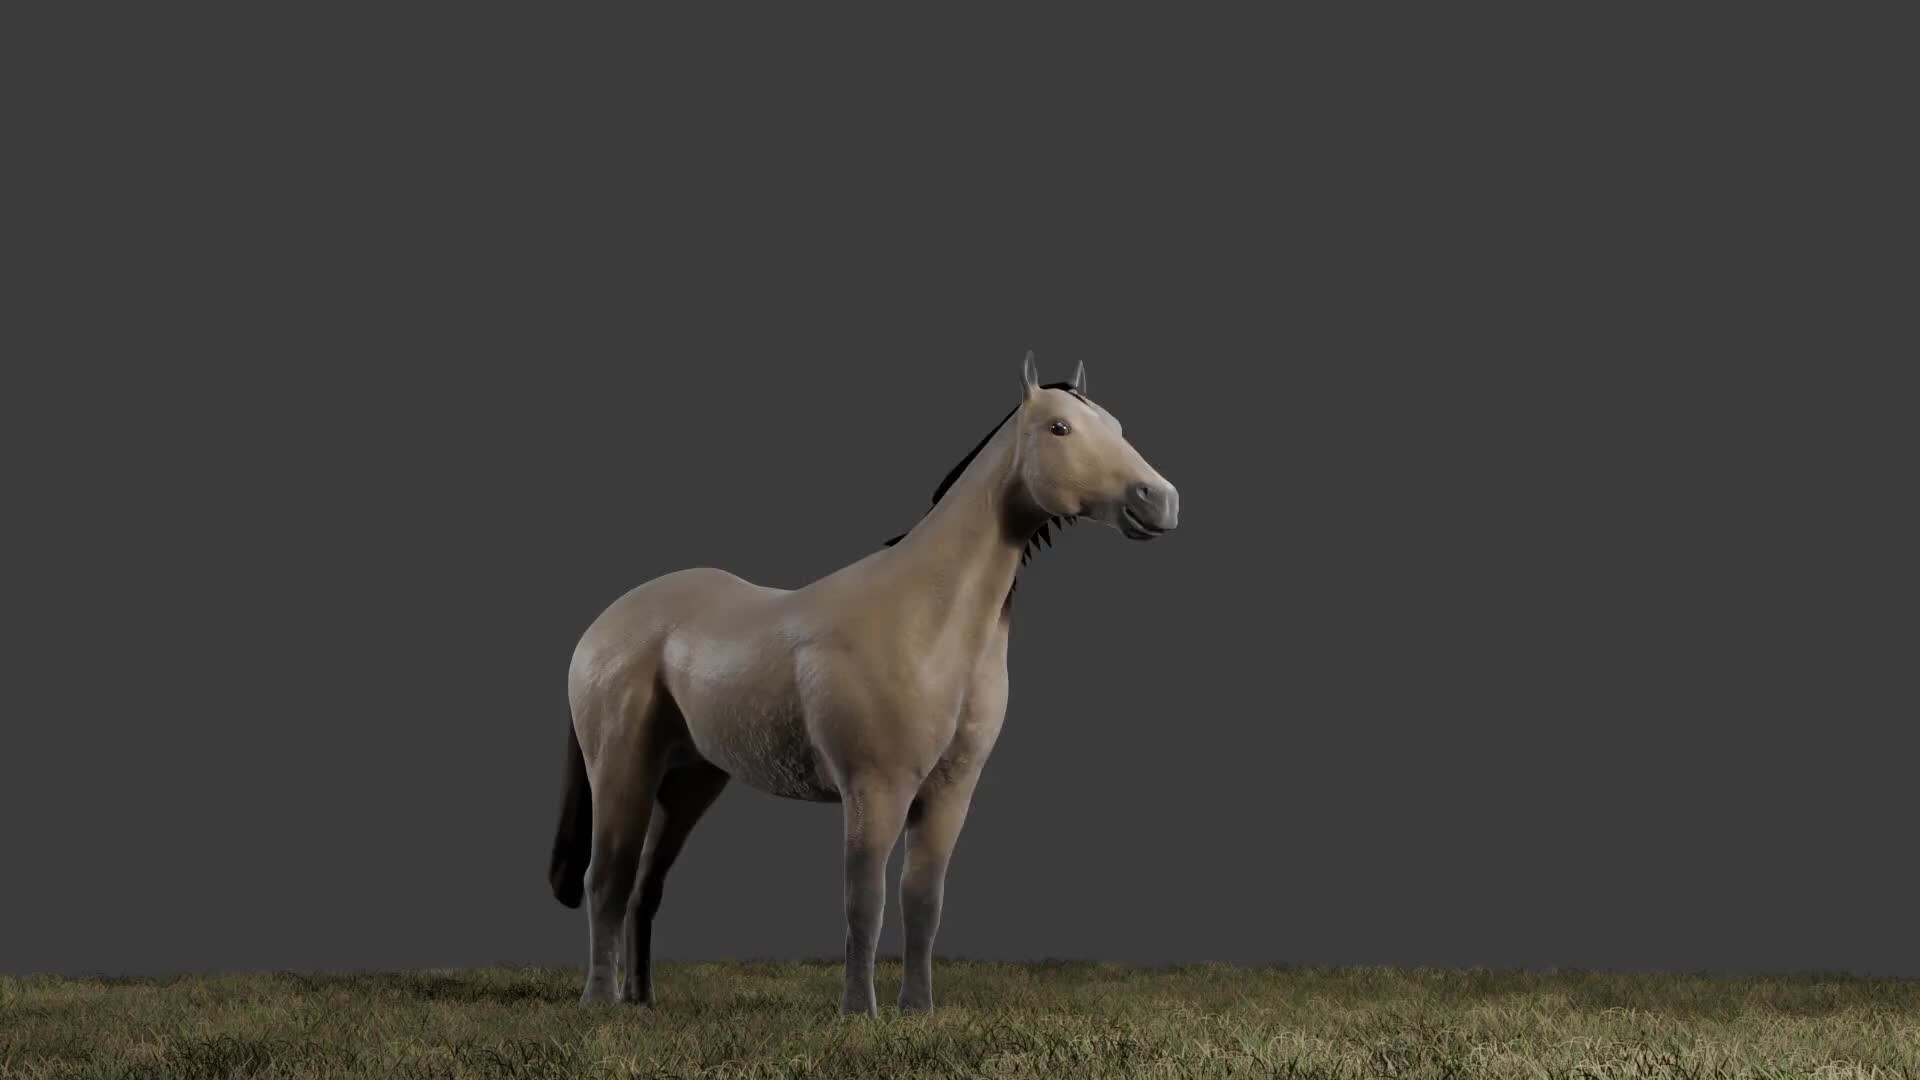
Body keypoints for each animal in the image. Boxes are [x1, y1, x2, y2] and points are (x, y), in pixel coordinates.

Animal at [546, 353, 1180, 1014]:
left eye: (1115, 424)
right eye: (1060, 428)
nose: (1160, 500)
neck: (926, 620)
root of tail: (602, 627)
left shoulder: (950, 792)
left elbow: (922, 901)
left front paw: (918, 1010)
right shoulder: (876, 789)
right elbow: (865, 904)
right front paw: (860, 1011)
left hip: (688, 783)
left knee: (645, 888)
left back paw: (641, 999)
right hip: (622, 771)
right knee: (606, 879)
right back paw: (599, 1001)